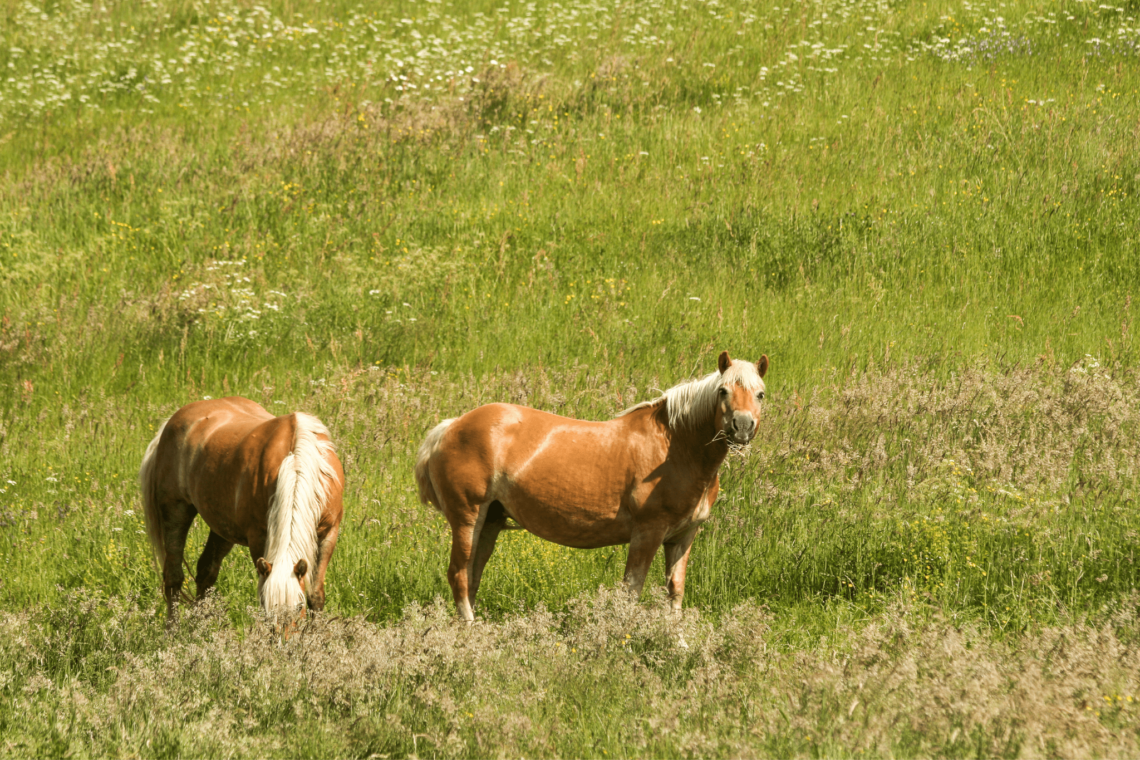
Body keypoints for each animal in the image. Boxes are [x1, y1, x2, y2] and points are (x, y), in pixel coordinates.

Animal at [138, 397, 345, 625]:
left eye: (299, 606)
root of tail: (171, 422)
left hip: (222, 529)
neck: (297, 463)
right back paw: (173, 630)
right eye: (268, 610)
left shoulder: (328, 534)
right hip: (176, 510)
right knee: (173, 578)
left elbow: (315, 595)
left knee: (205, 572)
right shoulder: (259, 539)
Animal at [414, 350, 768, 621]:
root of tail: (451, 427)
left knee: (472, 577)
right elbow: (632, 589)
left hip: (490, 522)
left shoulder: (683, 537)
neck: (675, 447)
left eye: (760, 393)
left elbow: (675, 592)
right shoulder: (648, 533)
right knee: (459, 576)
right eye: (723, 390)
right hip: (467, 518)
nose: (742, 426)